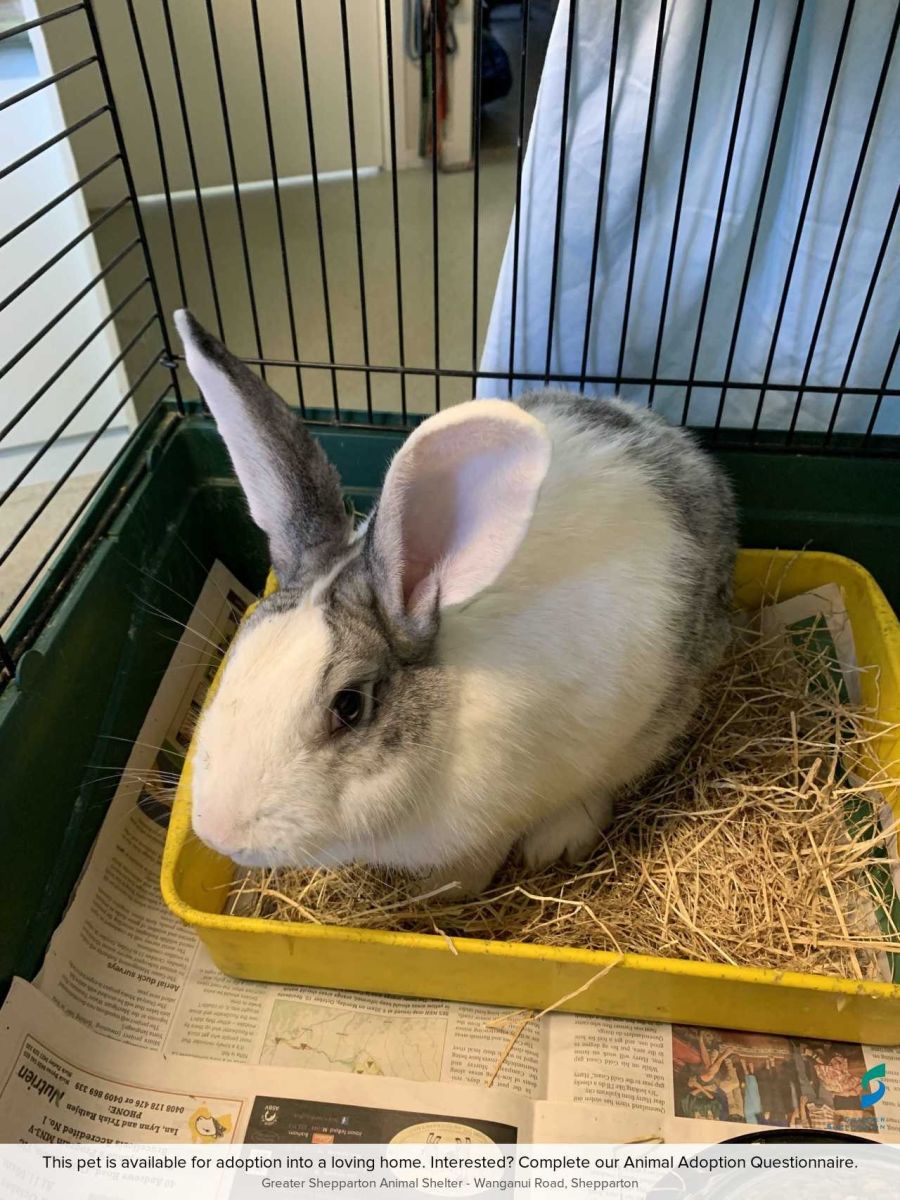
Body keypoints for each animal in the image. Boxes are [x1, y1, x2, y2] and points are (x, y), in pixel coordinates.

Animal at [174, 309, 737, 895]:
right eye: (235, 655)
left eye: (349, 706)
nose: (219, 832)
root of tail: (678, 444)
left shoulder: (493, 823)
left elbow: (474, 866)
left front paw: (444, 895)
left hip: (657, 715)